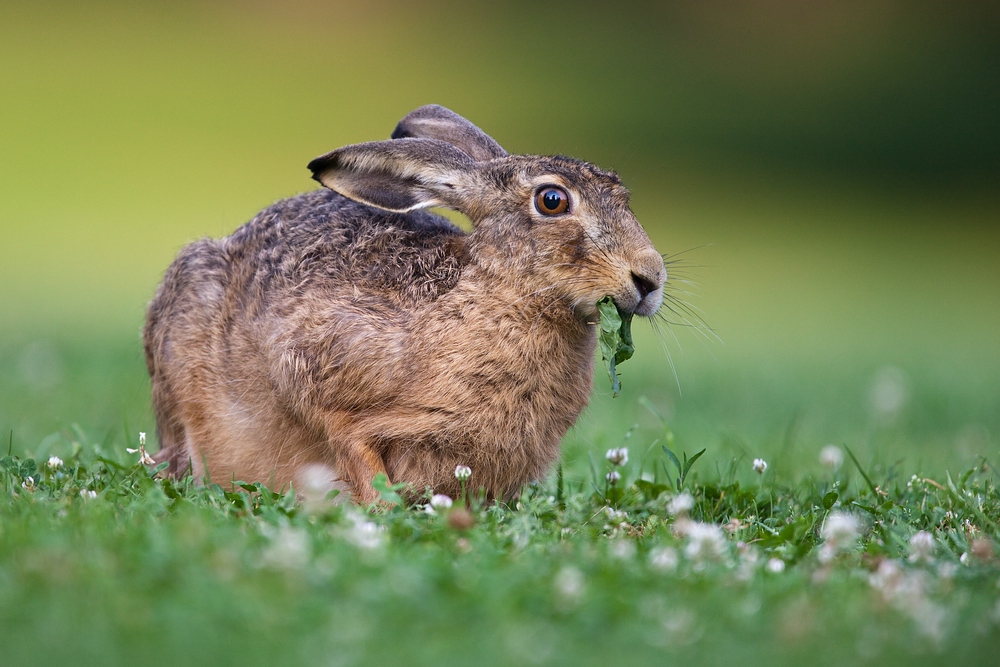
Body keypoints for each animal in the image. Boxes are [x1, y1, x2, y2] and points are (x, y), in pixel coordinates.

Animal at [144, 104, 666, 504]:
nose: (650, 278)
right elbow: (357, 454)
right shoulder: (318, 377)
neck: (503, 293)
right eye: (552, 200)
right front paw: (380, 511)